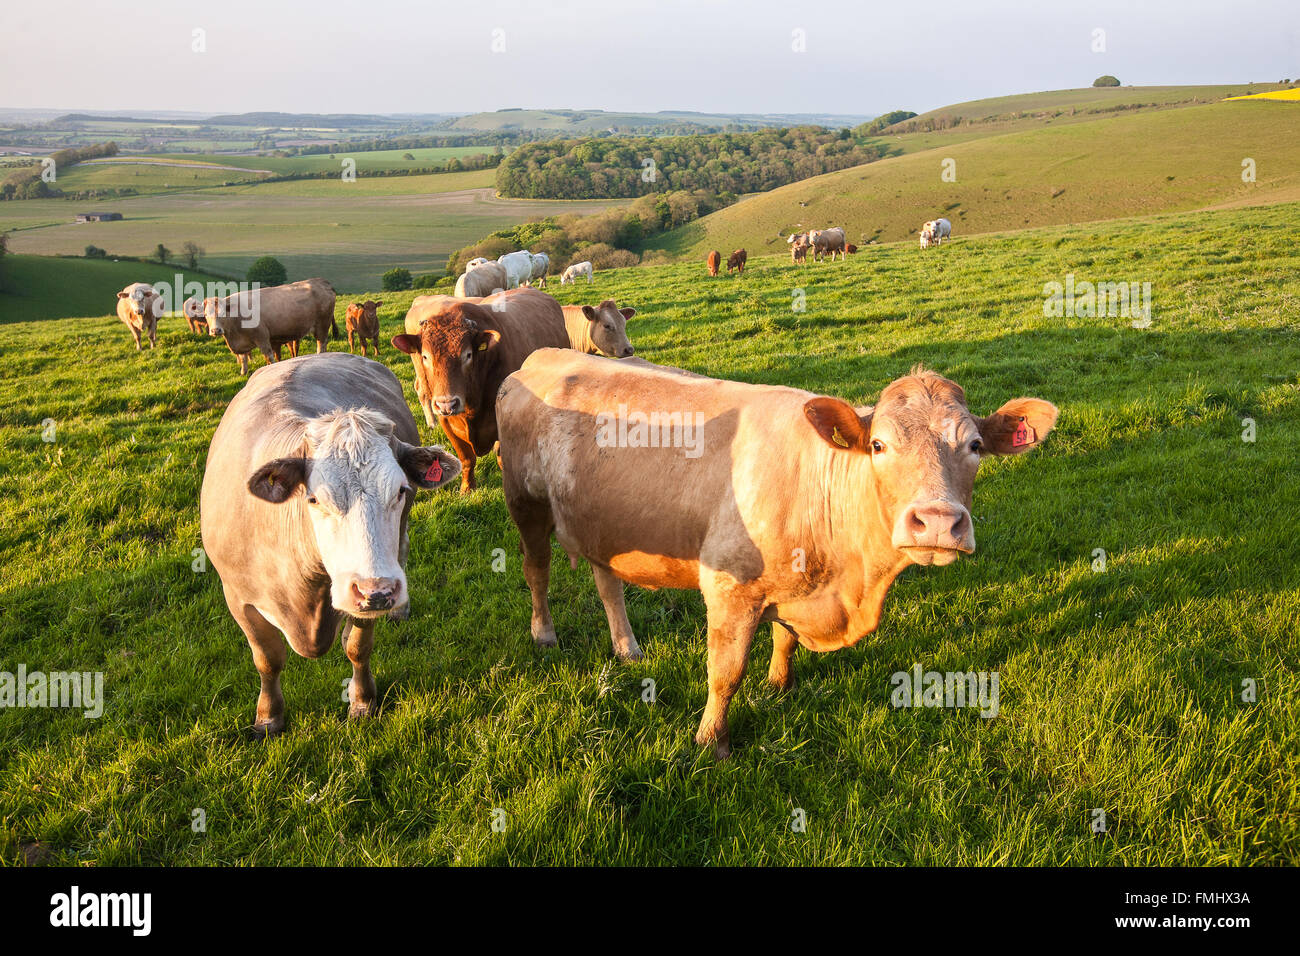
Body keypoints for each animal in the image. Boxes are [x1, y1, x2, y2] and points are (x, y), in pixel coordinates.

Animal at [199, 352, 461, 737]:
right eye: (314, 499)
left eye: (400, 489)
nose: (379, 592)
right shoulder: (238, 598)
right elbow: (267, 659)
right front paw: (268, 716)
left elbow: (357, 647)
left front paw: (362, 701)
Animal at [204, 278, 337, 376]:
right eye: (205, 315)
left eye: (222, 314)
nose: (215, 330)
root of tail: (321, 281)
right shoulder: (241, 343)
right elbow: (243, 358)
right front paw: (243, 372)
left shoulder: (262, 337)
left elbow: (269, 356)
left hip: (322, 325)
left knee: (321, 344)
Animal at [391, 287, 571, 493]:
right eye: (425, 356)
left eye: (468, 355)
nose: (447, 403)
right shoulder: (447, 423)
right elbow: (466, 459)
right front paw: (467, 488)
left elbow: (502, 459)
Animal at [497, 353, 1059, 758]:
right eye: (878, 445)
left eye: (976, 446)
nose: (939, 521)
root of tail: (538, 359)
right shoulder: (731, 587)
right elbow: (725, 673)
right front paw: (711, 742)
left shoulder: (796, 587)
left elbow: (784, 642)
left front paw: (778, 687)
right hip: (525, 503)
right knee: (536, 571)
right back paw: (544, 633)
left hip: (601, 522)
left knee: (606, 580)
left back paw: (627, 647)